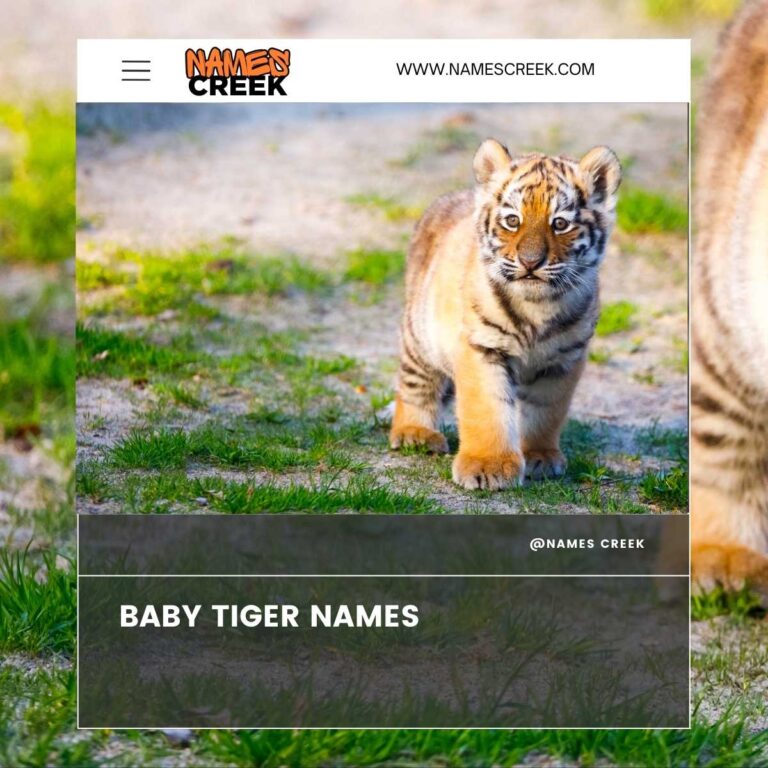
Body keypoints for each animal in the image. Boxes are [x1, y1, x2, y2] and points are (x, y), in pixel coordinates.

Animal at [390, 139, 621, 490]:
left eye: (560, 224)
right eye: (513, 220)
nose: (530, 262)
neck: (538, 306)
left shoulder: (563, 360)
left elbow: (546, 411)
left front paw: (539, 456)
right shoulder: (482, 348)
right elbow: (488, 410)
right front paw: (488, 466)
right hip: (421, 338)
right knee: (415, 384)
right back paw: (415, 433)